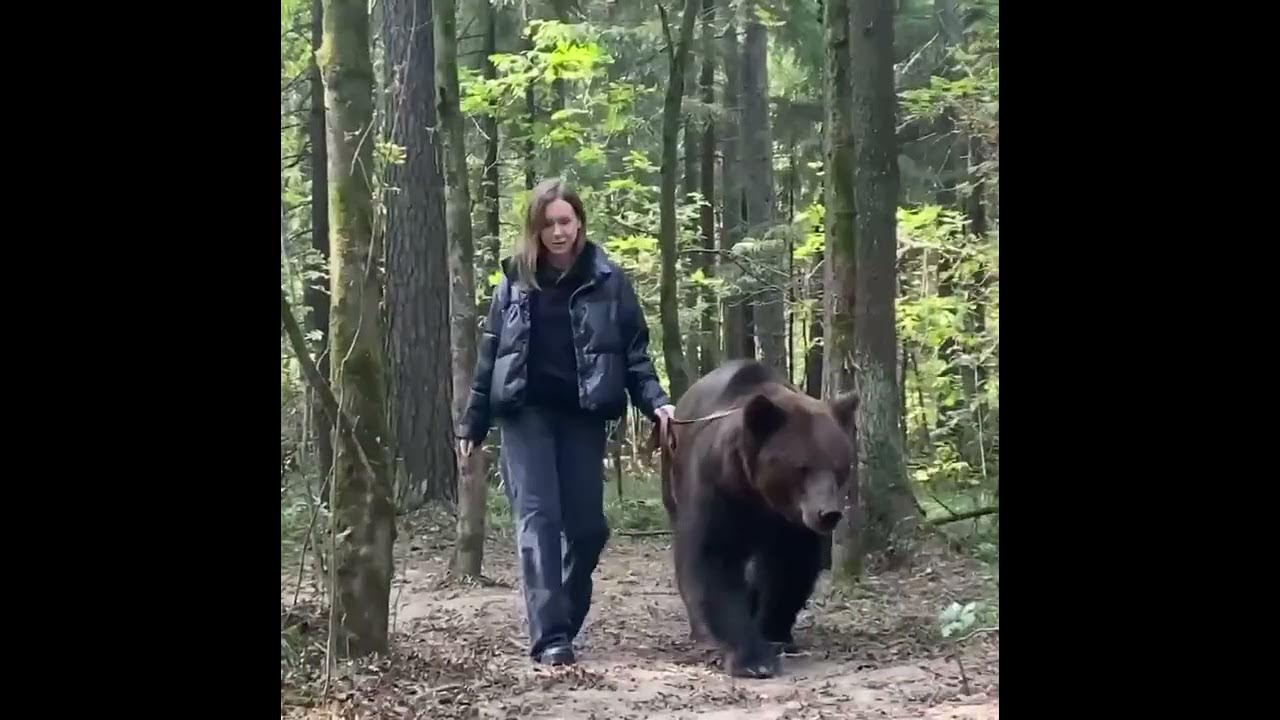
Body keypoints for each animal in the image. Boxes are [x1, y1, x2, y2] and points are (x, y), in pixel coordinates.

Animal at [657, 358, 858, 679]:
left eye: (840, 465)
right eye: (802, 467)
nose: (828, 513)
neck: (761, 495)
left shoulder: (791, 523)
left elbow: (790, 567)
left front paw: (775, 632)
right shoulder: (719, 491)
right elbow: (714, 562)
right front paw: (753, 659)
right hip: (672, 477)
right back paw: (701, 630)